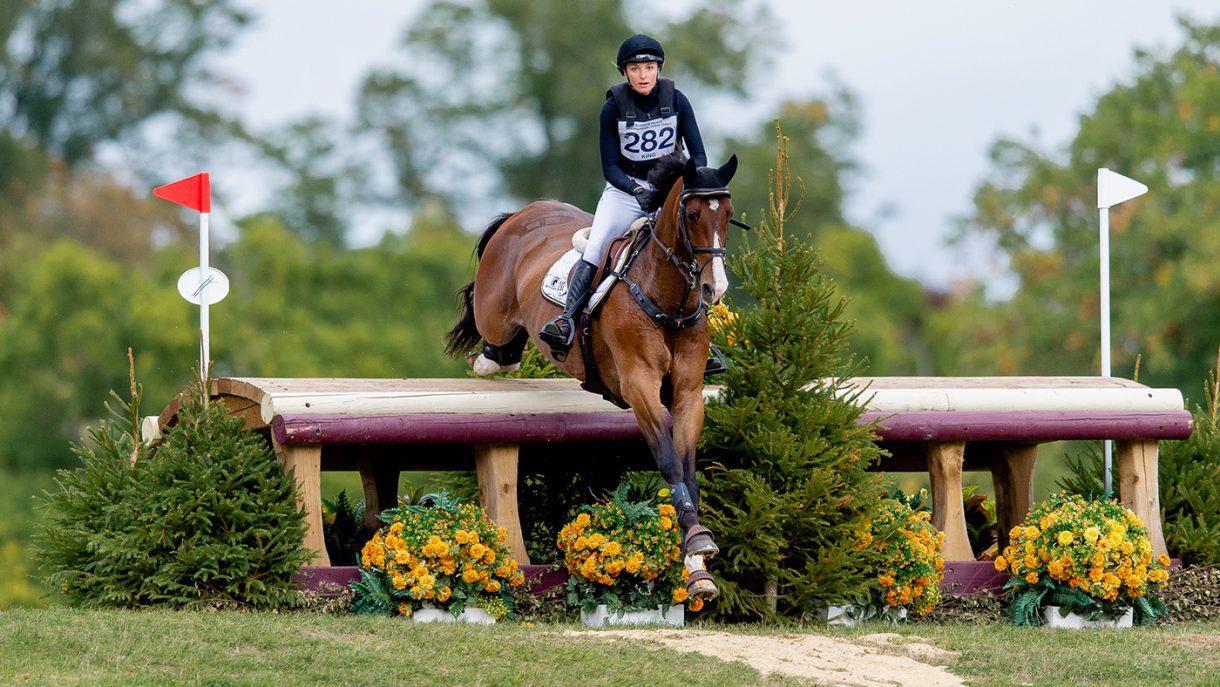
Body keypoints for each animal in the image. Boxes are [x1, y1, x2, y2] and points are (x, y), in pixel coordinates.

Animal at [445, 154, 739, 601]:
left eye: (728, 214)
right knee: (493, 340)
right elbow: (669, 461)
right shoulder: (639, 387)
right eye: (691, 215)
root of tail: (525, 212)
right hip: (493, 314)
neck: (667, 296)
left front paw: (697, 565)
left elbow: (688, 469)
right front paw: (697, 545)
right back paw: (494, 360)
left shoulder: (688, 394)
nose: (713, 288)